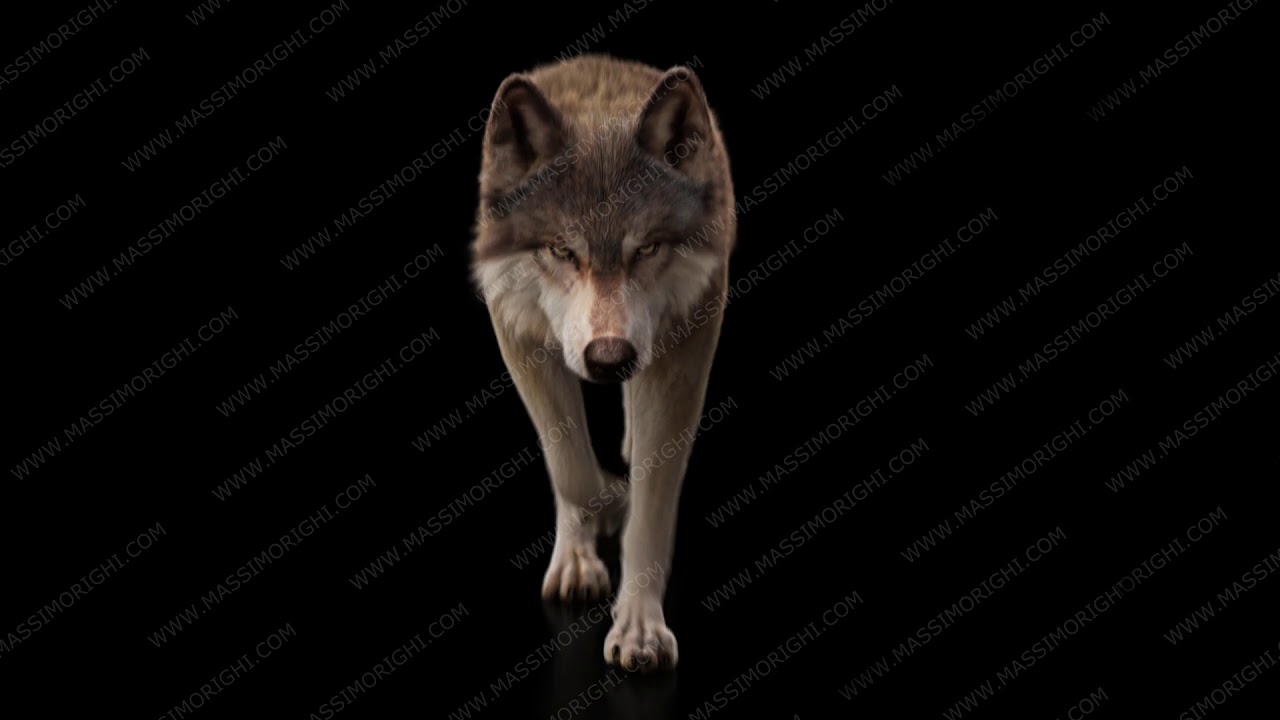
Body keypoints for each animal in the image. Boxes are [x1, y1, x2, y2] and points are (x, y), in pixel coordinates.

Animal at [470, 54, 735, 672]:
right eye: (562, 251)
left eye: (648, 248)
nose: (610, 357)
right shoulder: (518, 331)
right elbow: (570, 466)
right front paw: (606, 511)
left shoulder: (684, 349)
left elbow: (653, 506)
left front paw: (639, 627)